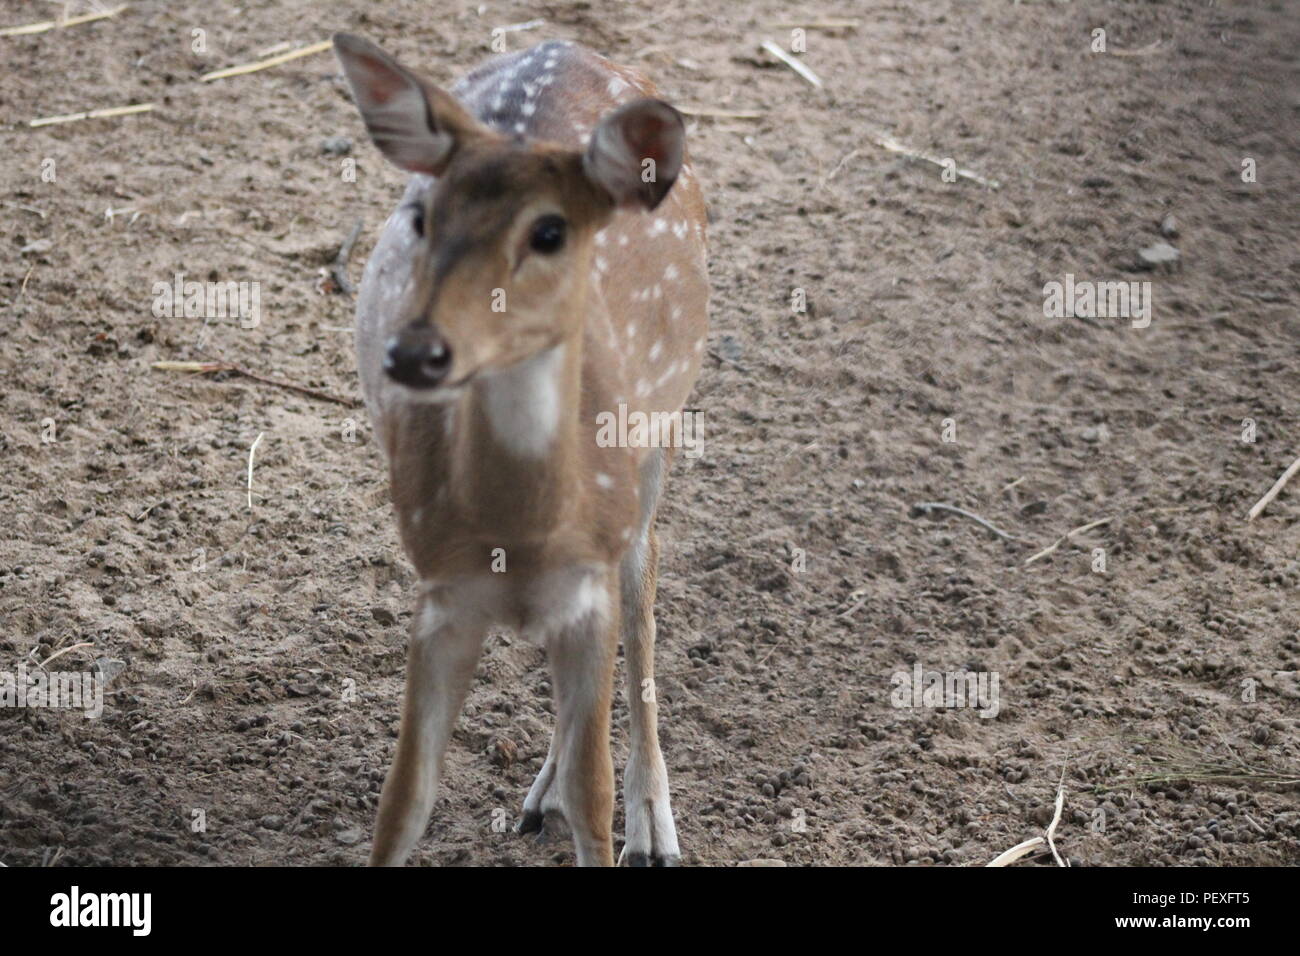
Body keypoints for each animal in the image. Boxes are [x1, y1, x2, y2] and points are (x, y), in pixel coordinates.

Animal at [331, 33, 709, 866]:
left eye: (548, 233)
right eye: (421, 216)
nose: (417, 352)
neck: (521, 531)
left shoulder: (590, 583)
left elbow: (595, 798)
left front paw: (615, 817)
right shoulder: (441, 592)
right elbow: (403, 801)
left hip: (658, 437)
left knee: (646, 577)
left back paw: (652, 824)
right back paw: (544, 794)